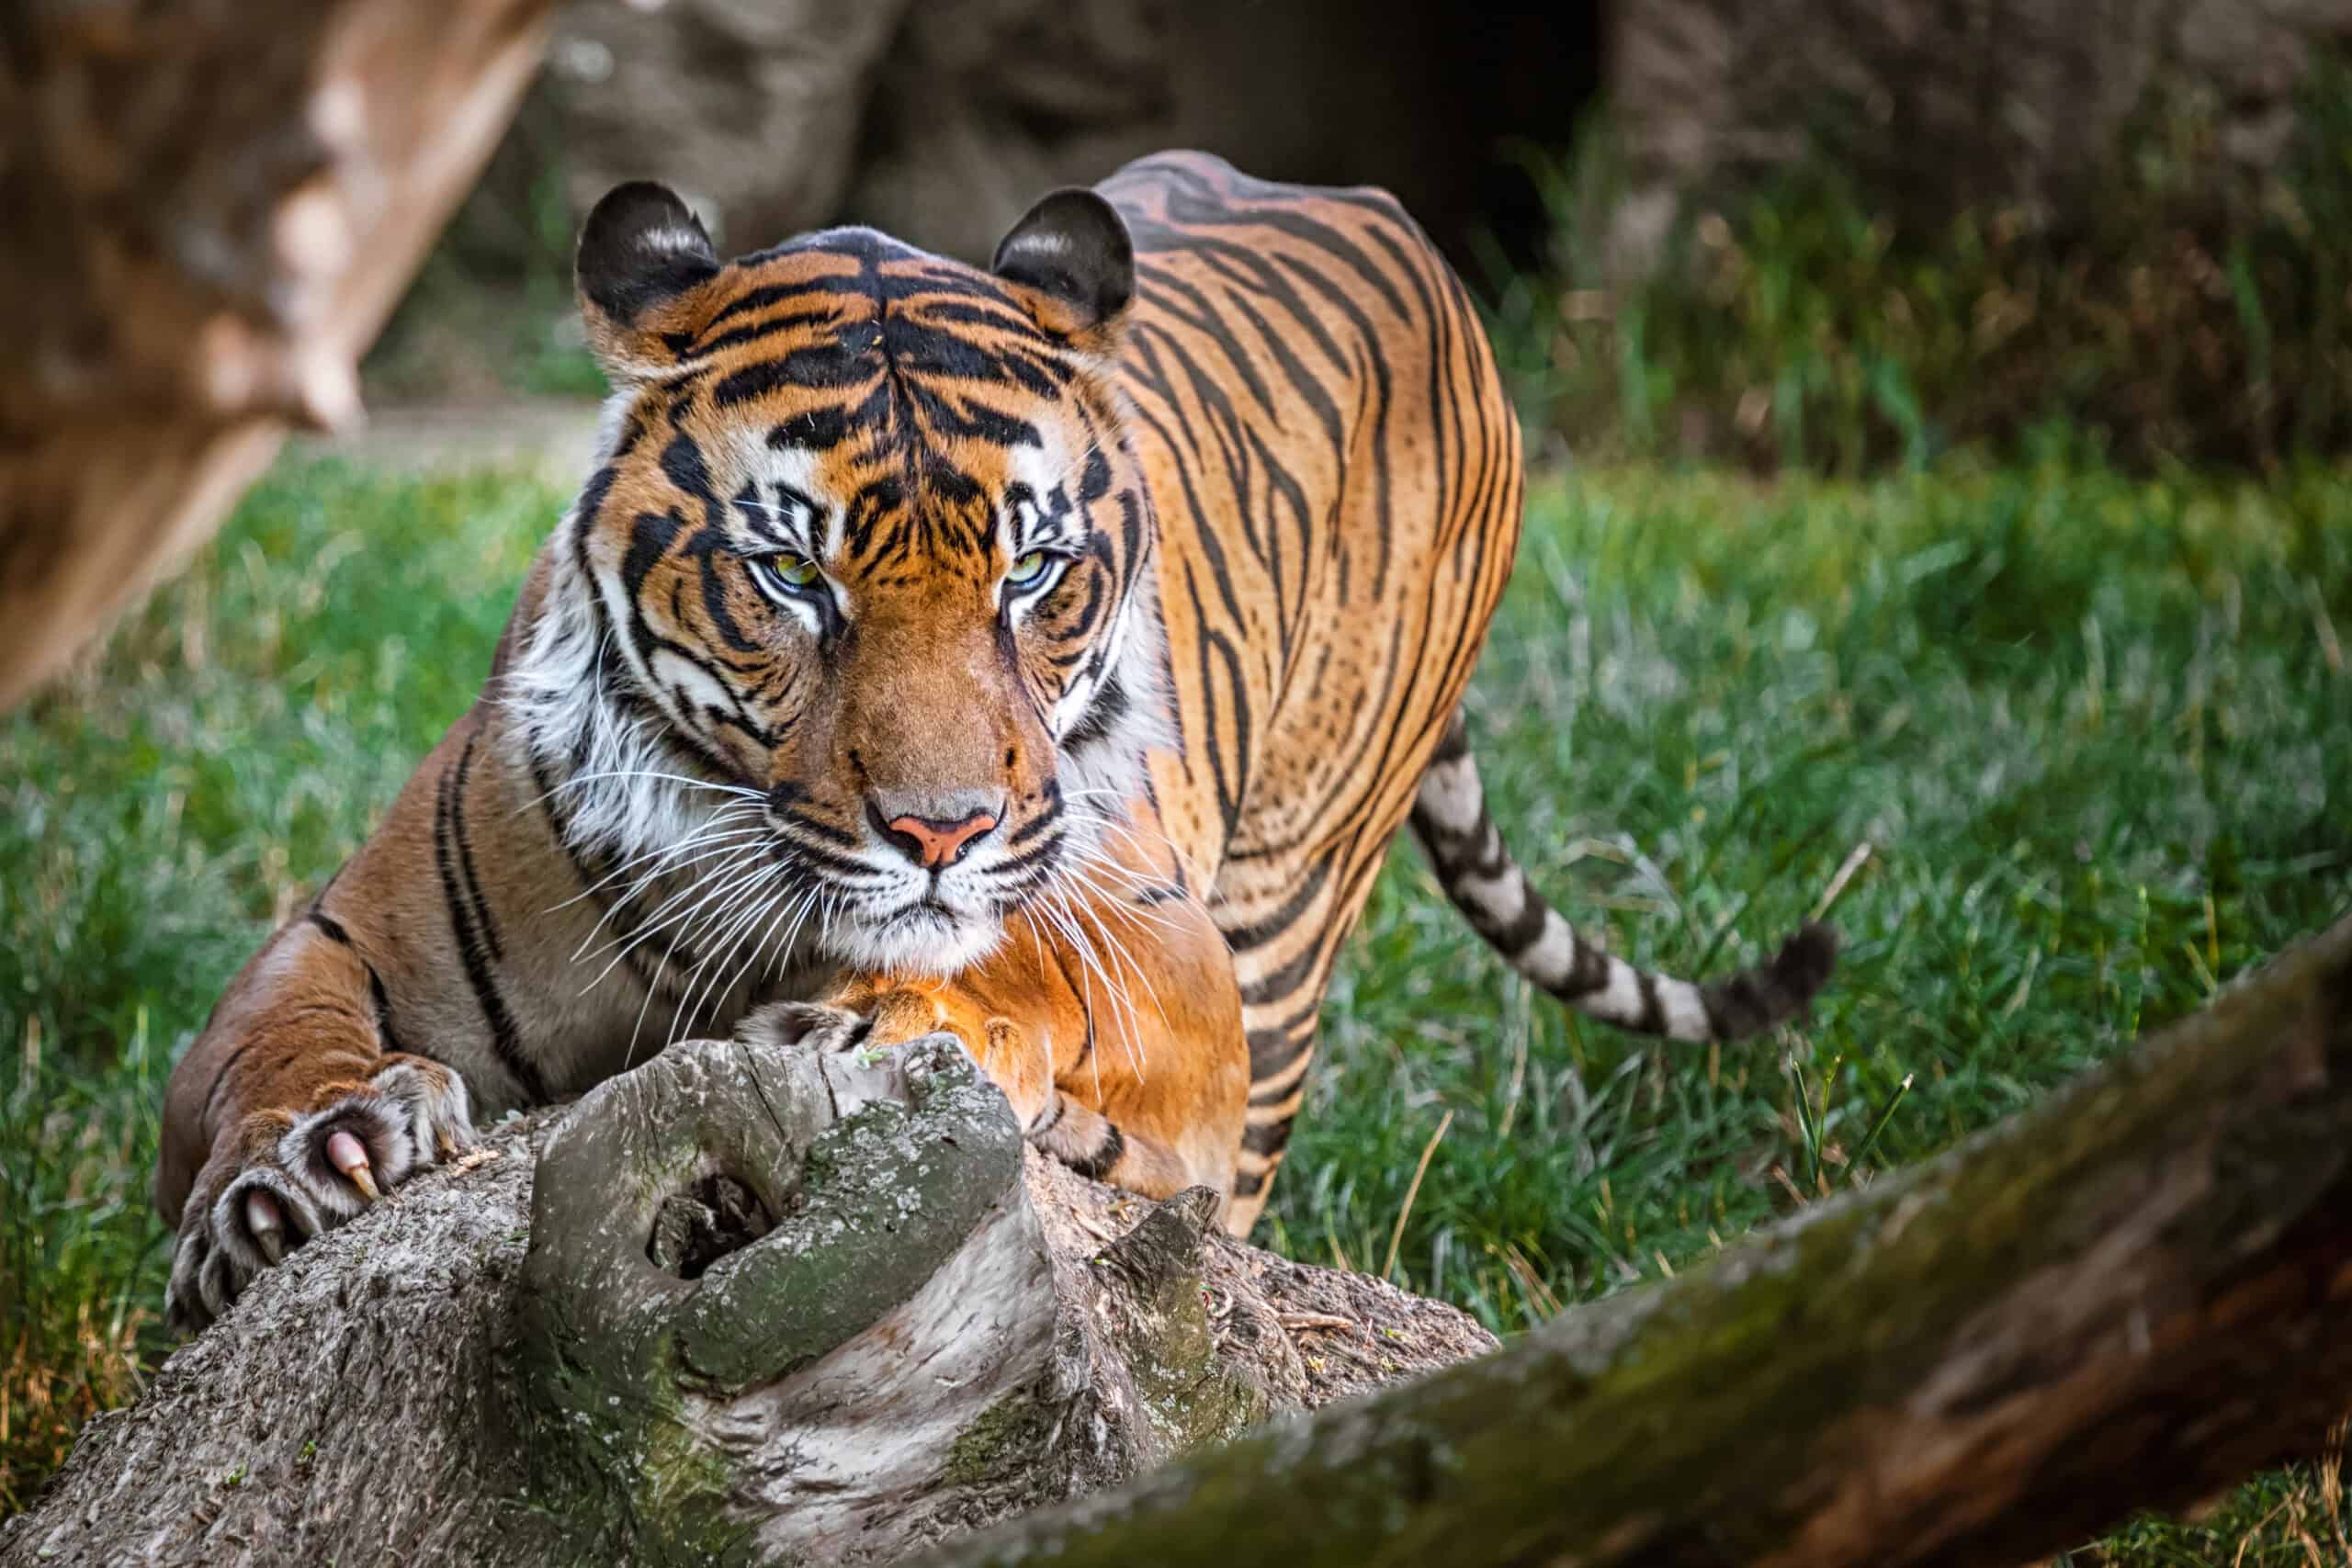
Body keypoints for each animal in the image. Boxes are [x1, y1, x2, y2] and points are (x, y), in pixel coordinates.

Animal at [155, 152, 1836, 1328]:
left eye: (1031, 574)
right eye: (794, 576)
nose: (939, 831)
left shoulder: (1161, 941)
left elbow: (1026, 976)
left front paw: (874, 1024)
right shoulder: (340, 929)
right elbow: (265, 1045)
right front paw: (308, 1162)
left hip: (1285, 923)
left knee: (1218, 1184)